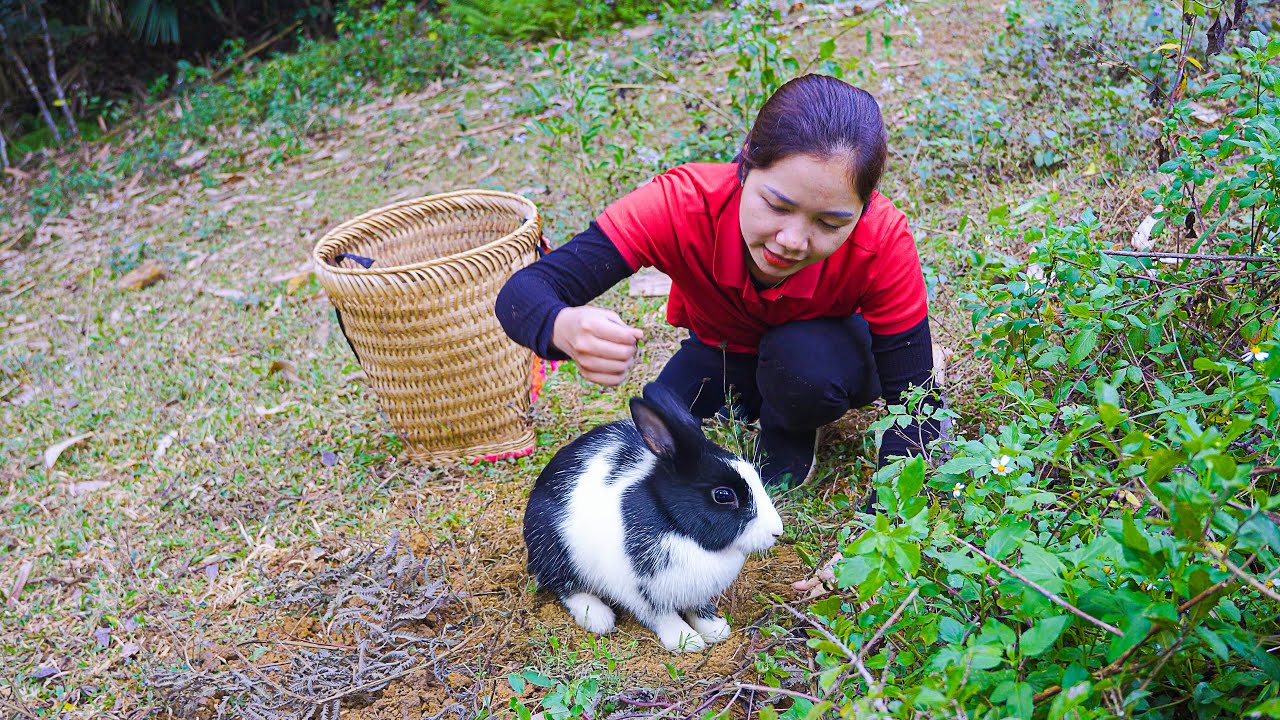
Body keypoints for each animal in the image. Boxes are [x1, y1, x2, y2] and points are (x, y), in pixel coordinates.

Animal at [523, 381, 784, 653]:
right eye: (723, 495)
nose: (777, 531)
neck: (678, 528)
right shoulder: (640, 593)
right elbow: (662, 617)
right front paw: (686, 641)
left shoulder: (695, 593)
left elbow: (699, 610)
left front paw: (716, 630)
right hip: (556, 551)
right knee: (563, 586)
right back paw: (597, 617)